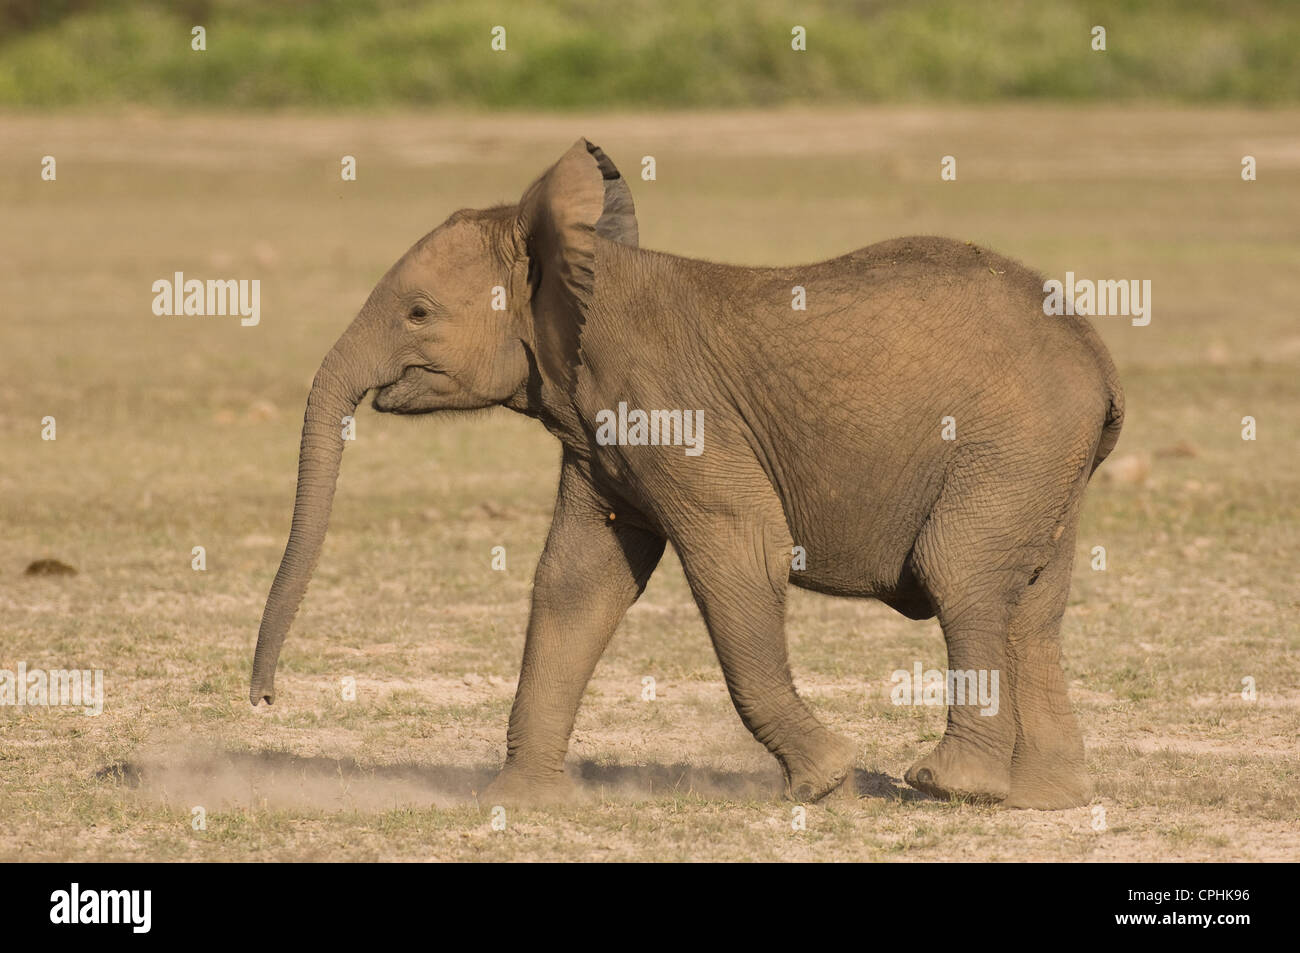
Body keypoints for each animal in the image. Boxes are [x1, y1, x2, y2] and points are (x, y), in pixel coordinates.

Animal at [249, 138, 1124, 810]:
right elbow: (577, 578)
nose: (263, 700)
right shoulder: (598, 431)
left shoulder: (673, 411)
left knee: (959, 570)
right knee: (1032, 604)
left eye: (419, 313)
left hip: (1011, 441)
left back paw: (950, 785)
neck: (582, 264)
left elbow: (740, 554)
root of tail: (1097, 354)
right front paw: (519, 803)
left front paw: (826, 784)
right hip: (1041, 459)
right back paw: (1045, 799)